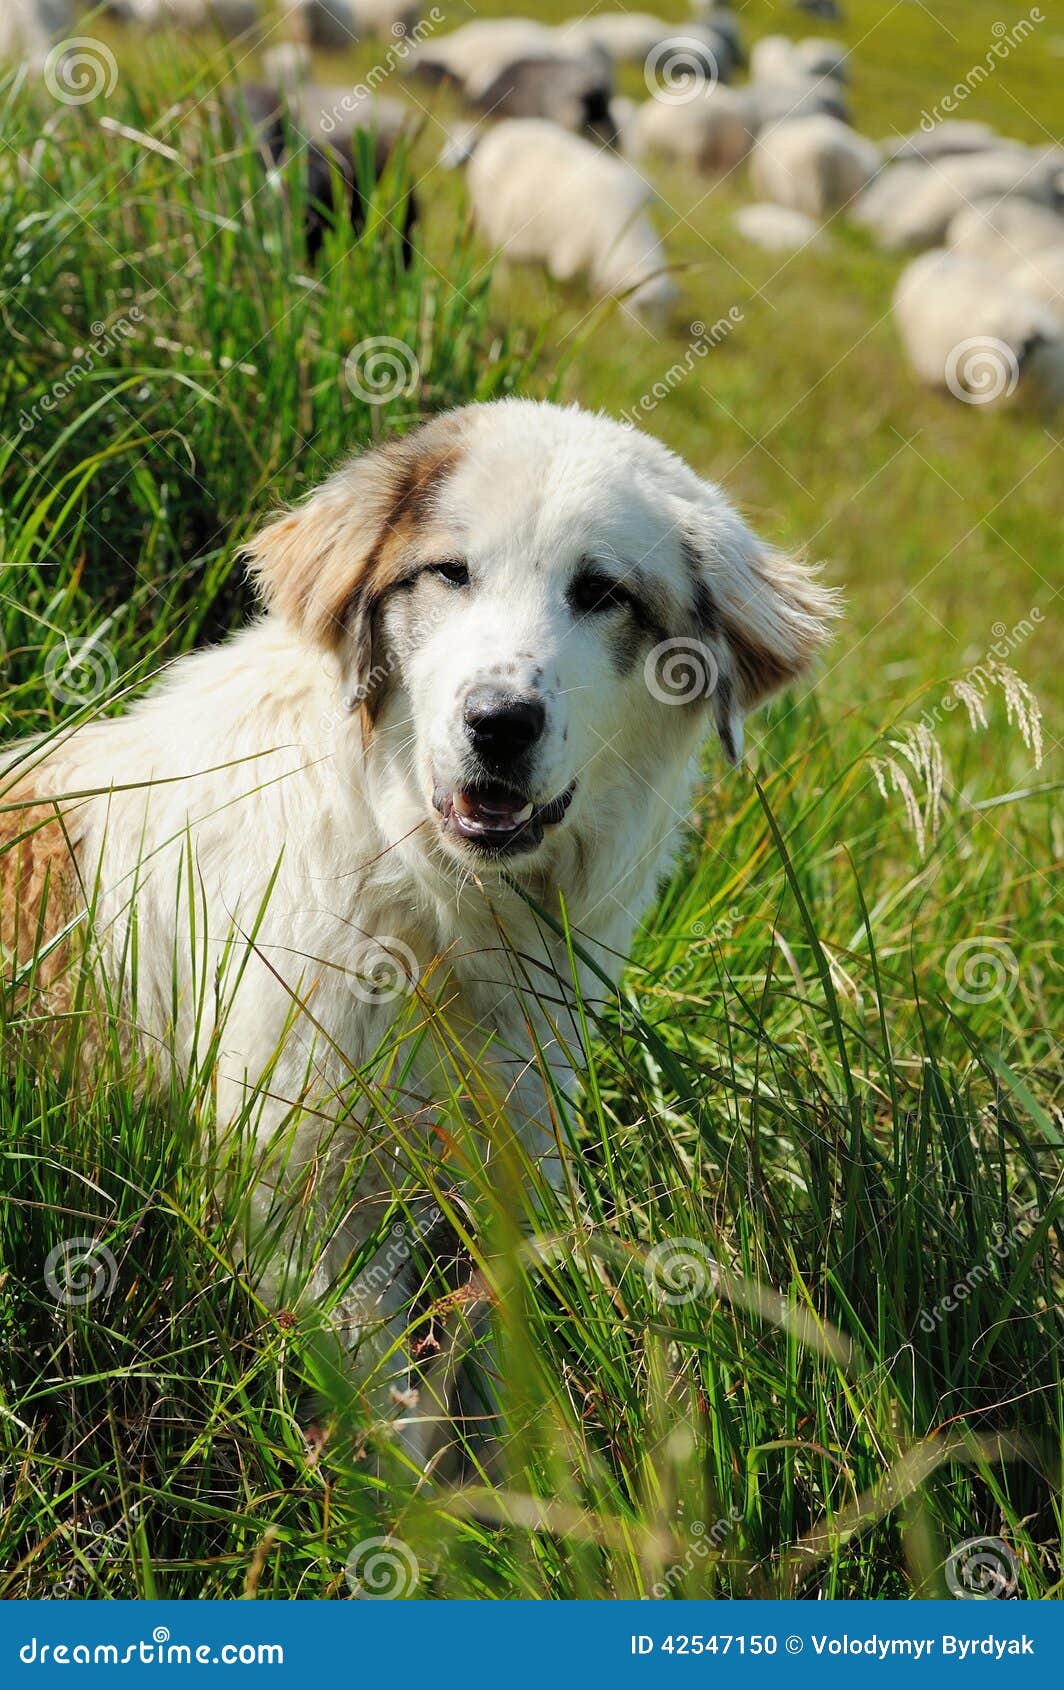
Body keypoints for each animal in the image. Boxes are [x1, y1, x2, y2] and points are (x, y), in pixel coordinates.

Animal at [466, 118, 676, 326]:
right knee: (501, 260)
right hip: (492, 220)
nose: (646, 337)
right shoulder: (572, 252)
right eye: (642, 307)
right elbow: (564, 278)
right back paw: (504, 287)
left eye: (665, 311)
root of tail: (498, 133)